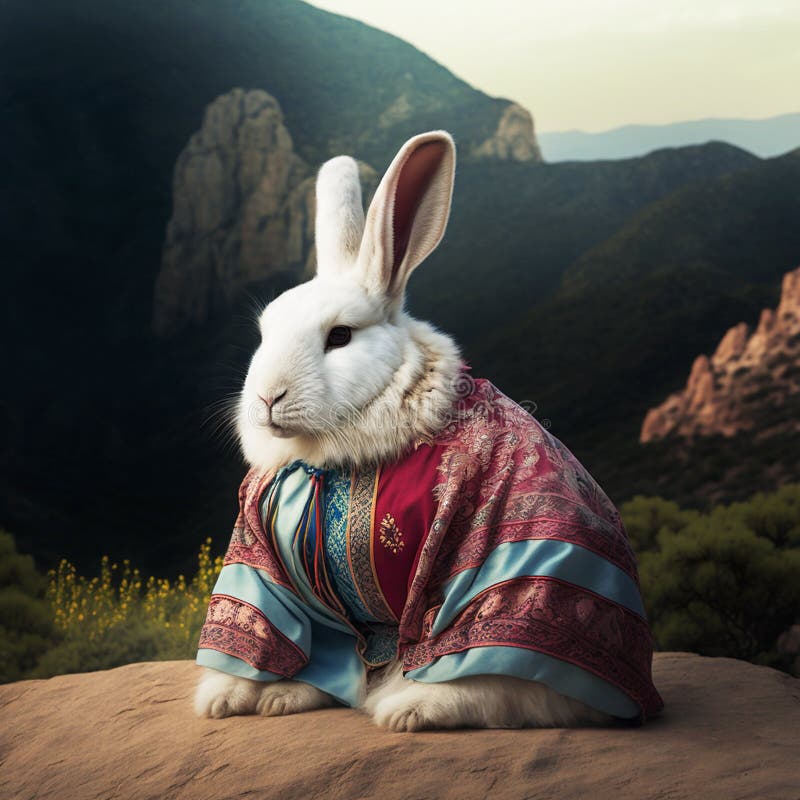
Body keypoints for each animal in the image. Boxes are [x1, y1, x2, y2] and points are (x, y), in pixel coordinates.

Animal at [194, 131, 661, 731]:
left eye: (340, 336)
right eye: (263, 332)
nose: (267, 398)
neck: (336, 459)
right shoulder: (272, 570)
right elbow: (289, 640)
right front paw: (238, 696)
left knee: (495, 682)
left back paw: (410, 708)